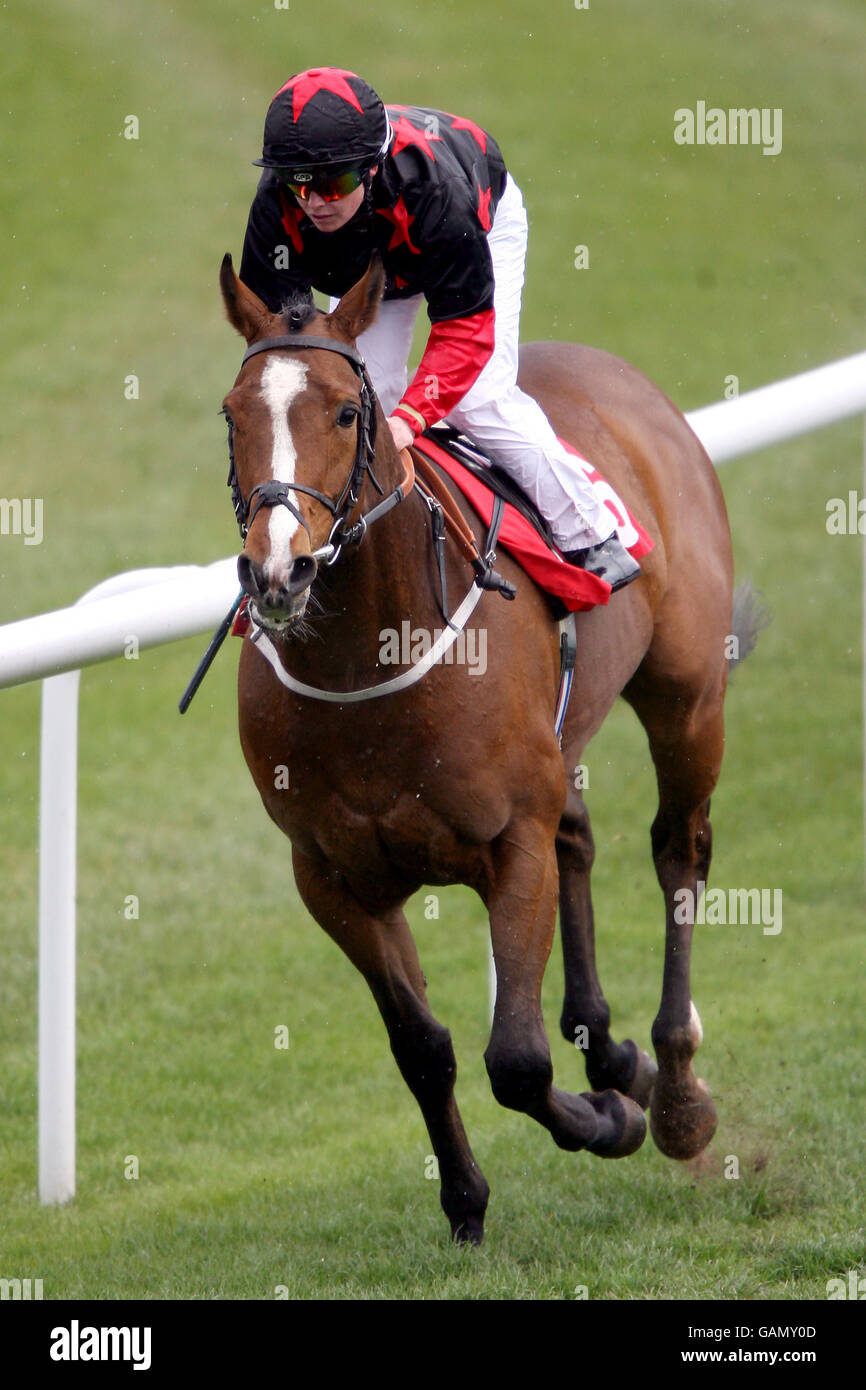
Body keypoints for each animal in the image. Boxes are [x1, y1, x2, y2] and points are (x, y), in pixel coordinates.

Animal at [217, 249, 745, 1245]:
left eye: (346, 412)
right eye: (232, 414)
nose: (279, 570)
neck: (370, 666)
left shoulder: (509, 844)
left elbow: (519, 1059)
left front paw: (610, 1122)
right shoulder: (331, 876)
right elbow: (423, 1047)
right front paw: (465, 1200)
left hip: (689, 692)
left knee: (679, 850)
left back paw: (674, 1090)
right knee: (582, 837)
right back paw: (614, 1053)